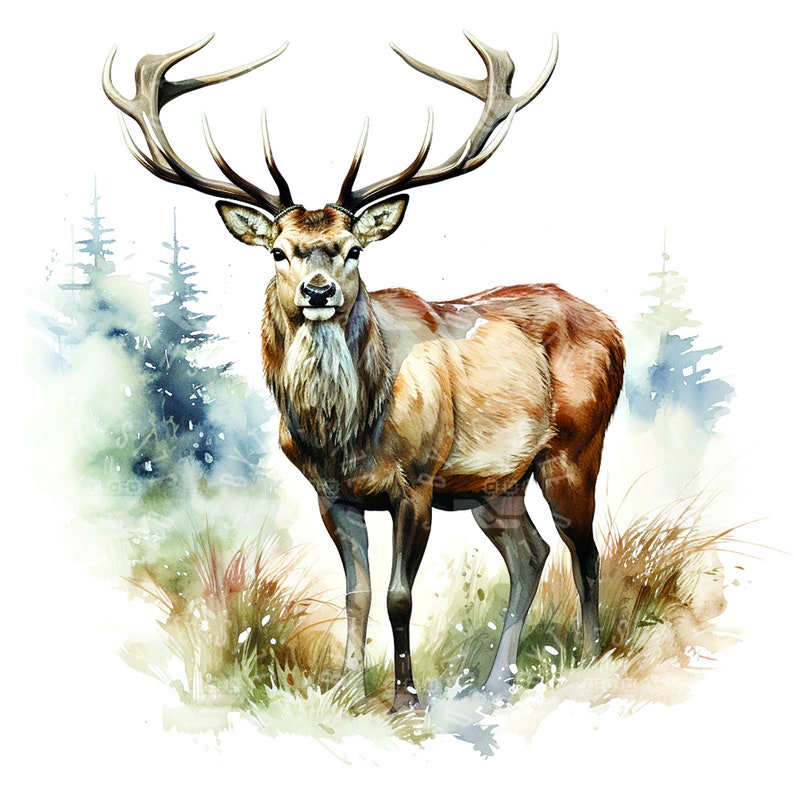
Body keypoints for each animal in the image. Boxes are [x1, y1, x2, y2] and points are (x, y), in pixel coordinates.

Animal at [103, 32, 625, 712]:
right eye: (279, 251)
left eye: (354, 250)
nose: (319, 291)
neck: (347, 433)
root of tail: (614, 329)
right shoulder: (332, 496)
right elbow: (357, 593)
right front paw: (348, 689)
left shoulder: (418, 481)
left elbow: (400, 596)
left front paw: (405, 698)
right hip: (494, 486)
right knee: (531, 553)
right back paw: (497, 680)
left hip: (574, 448)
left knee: (583, 549)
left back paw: (589, 656)